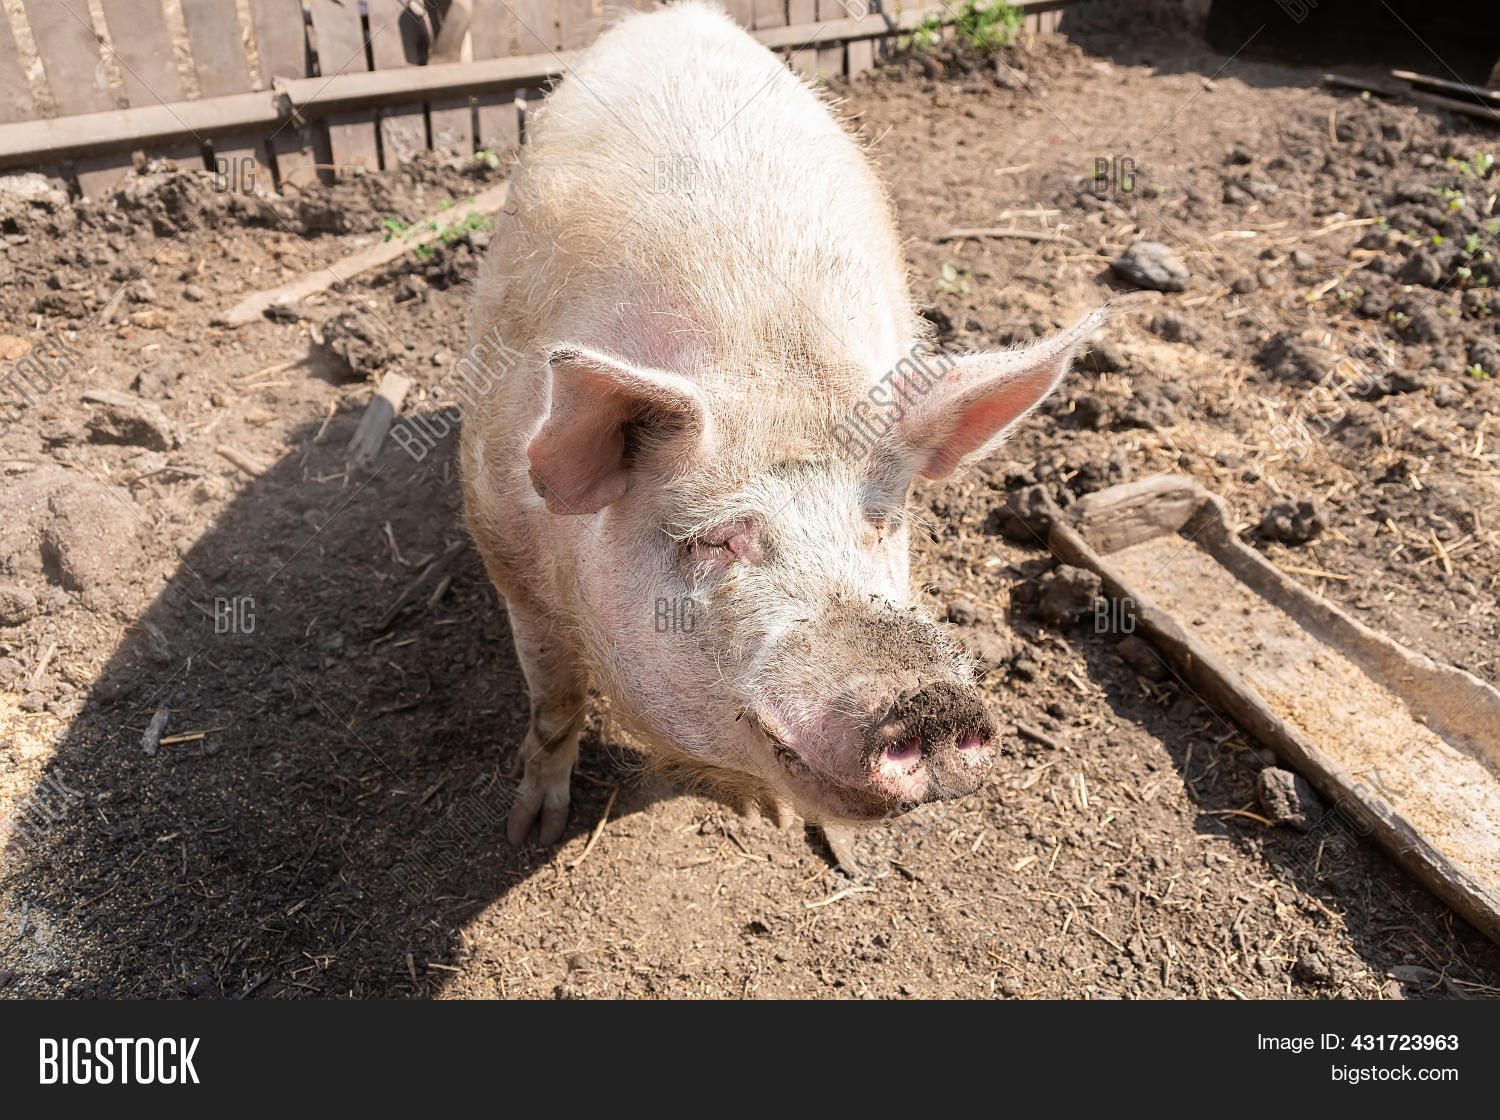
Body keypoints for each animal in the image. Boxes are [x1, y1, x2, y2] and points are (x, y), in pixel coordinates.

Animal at [460, 1, 1104, 855]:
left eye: (882, 524)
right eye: (717, 541)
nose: (932, 703)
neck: (768, 370)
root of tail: (679, 14)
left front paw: (794, 828)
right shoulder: (501, 540)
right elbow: (555, 702)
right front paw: (528, 832)